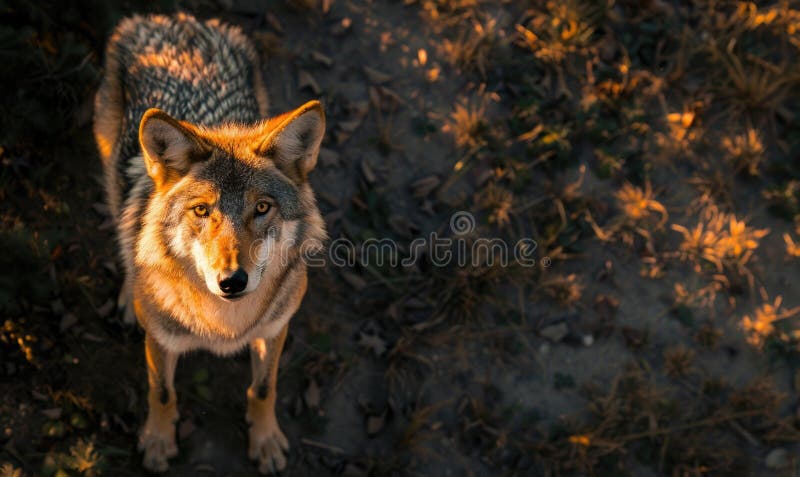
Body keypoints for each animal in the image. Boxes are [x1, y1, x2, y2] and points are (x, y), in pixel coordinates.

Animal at [93, 13, 327, 473]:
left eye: (262, 207)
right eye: (202, 211)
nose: (231, 282)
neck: (225, 326)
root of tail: (174, 20)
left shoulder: (276, 328)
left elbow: (263, 389)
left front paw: (266, 441)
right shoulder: (161, 340)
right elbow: (162, 392)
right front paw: (158, 442)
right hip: (110, 162)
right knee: (126, 229)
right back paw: (131, 293)